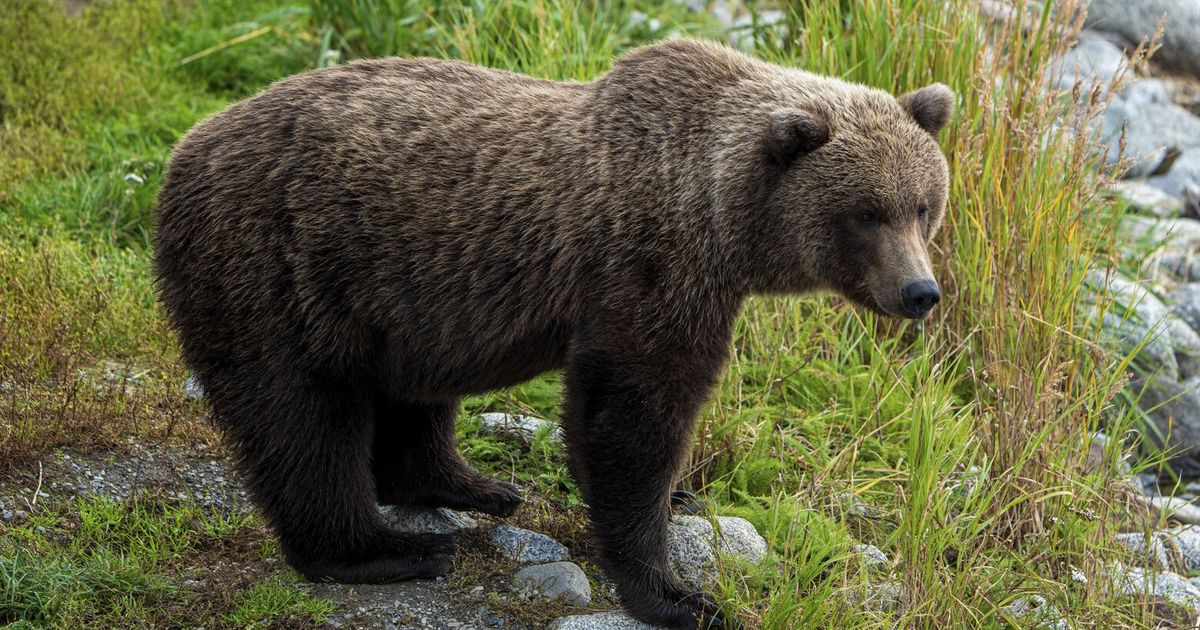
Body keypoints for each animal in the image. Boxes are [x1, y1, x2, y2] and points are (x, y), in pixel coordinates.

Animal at [153, 38, 952, 629]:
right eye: (866, 212)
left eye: (923, 204)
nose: (921, 292)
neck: (721, 221)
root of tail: (184, 149)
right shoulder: (648, 269)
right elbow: (631, 412)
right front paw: (676, 592)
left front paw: (681, 501)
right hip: (278, 267)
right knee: (301, 416)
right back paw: (388, 549)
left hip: (403, 296)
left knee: (412, 392)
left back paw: (472, 486)